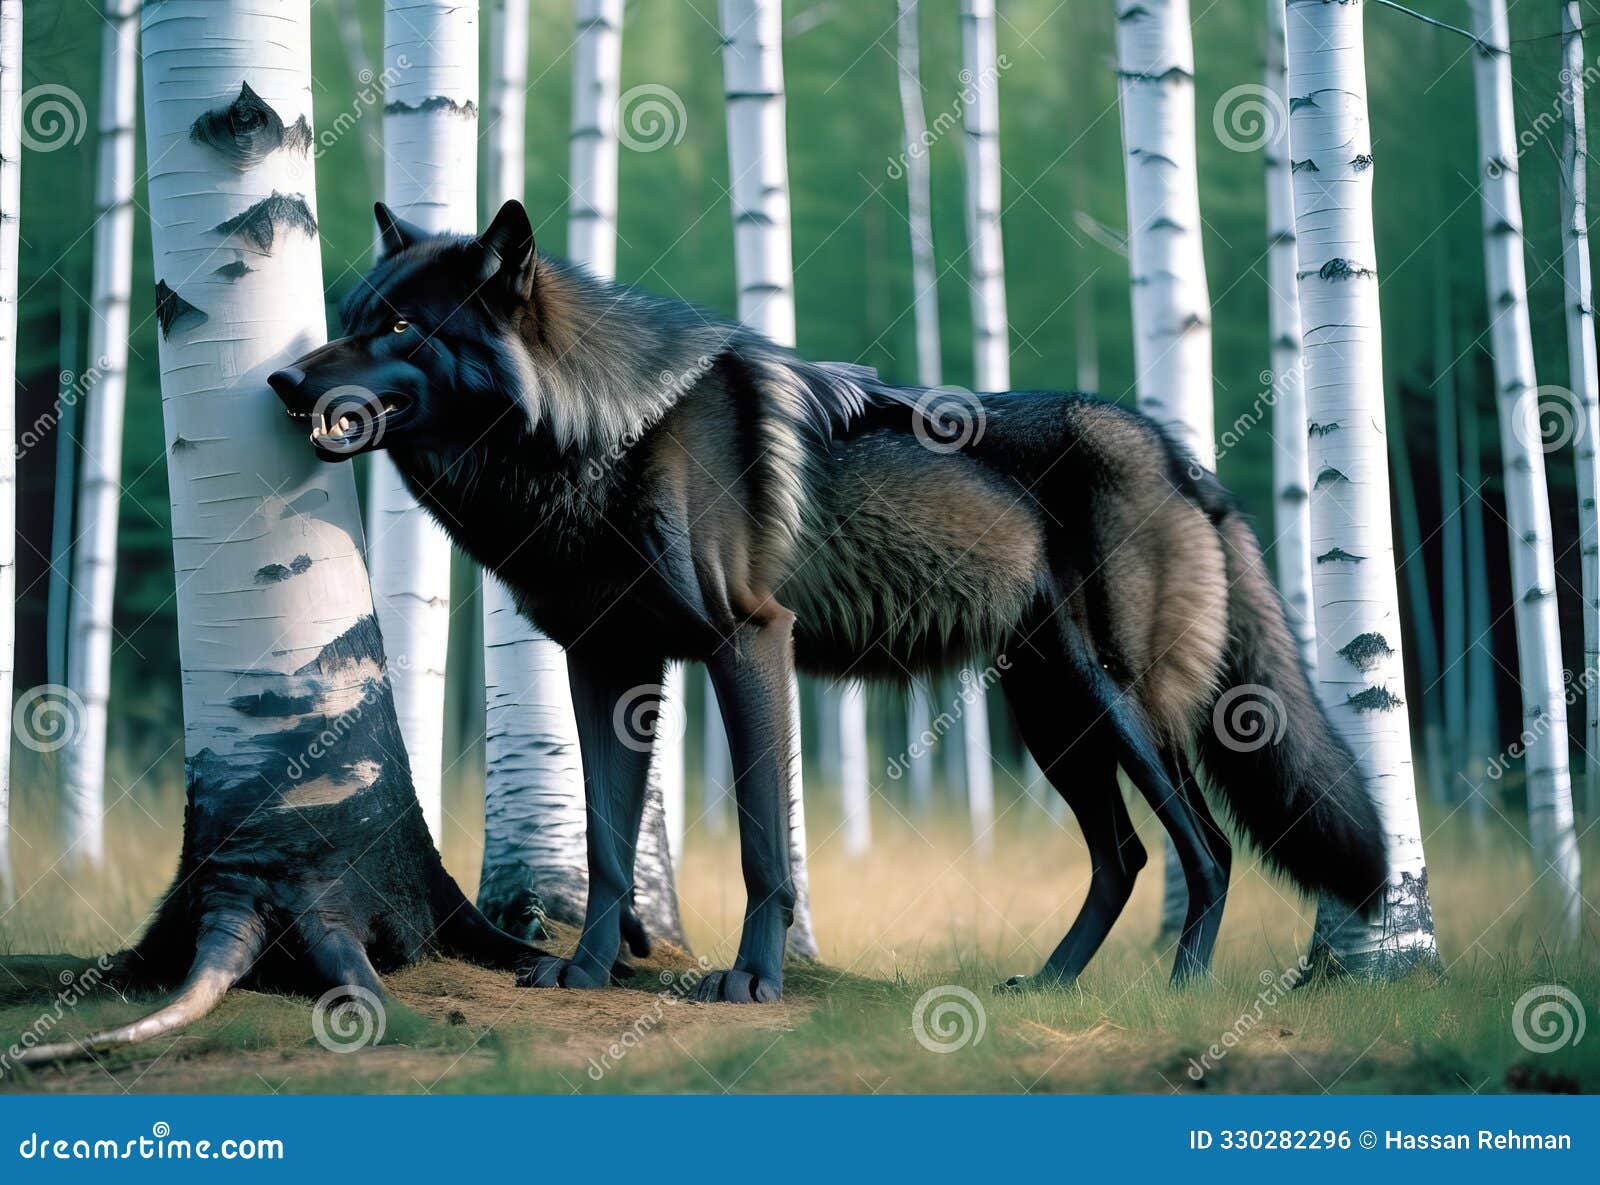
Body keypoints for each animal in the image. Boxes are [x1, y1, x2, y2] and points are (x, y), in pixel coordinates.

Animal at [270, 200, 1385, 1002]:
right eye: (347, 322)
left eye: (400, 327)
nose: (283, 380)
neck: (603, 436)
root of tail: (1180, 455)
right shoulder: (606, 663)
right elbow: (604, 842)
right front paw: (584, 971)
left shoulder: (747, 642)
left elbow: (766, 840)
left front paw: (751, 980)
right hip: (1051, 717)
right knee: (1125, 855)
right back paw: (1047, 987)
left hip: (1117, 707)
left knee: (1206, 849)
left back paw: (1181, 992)